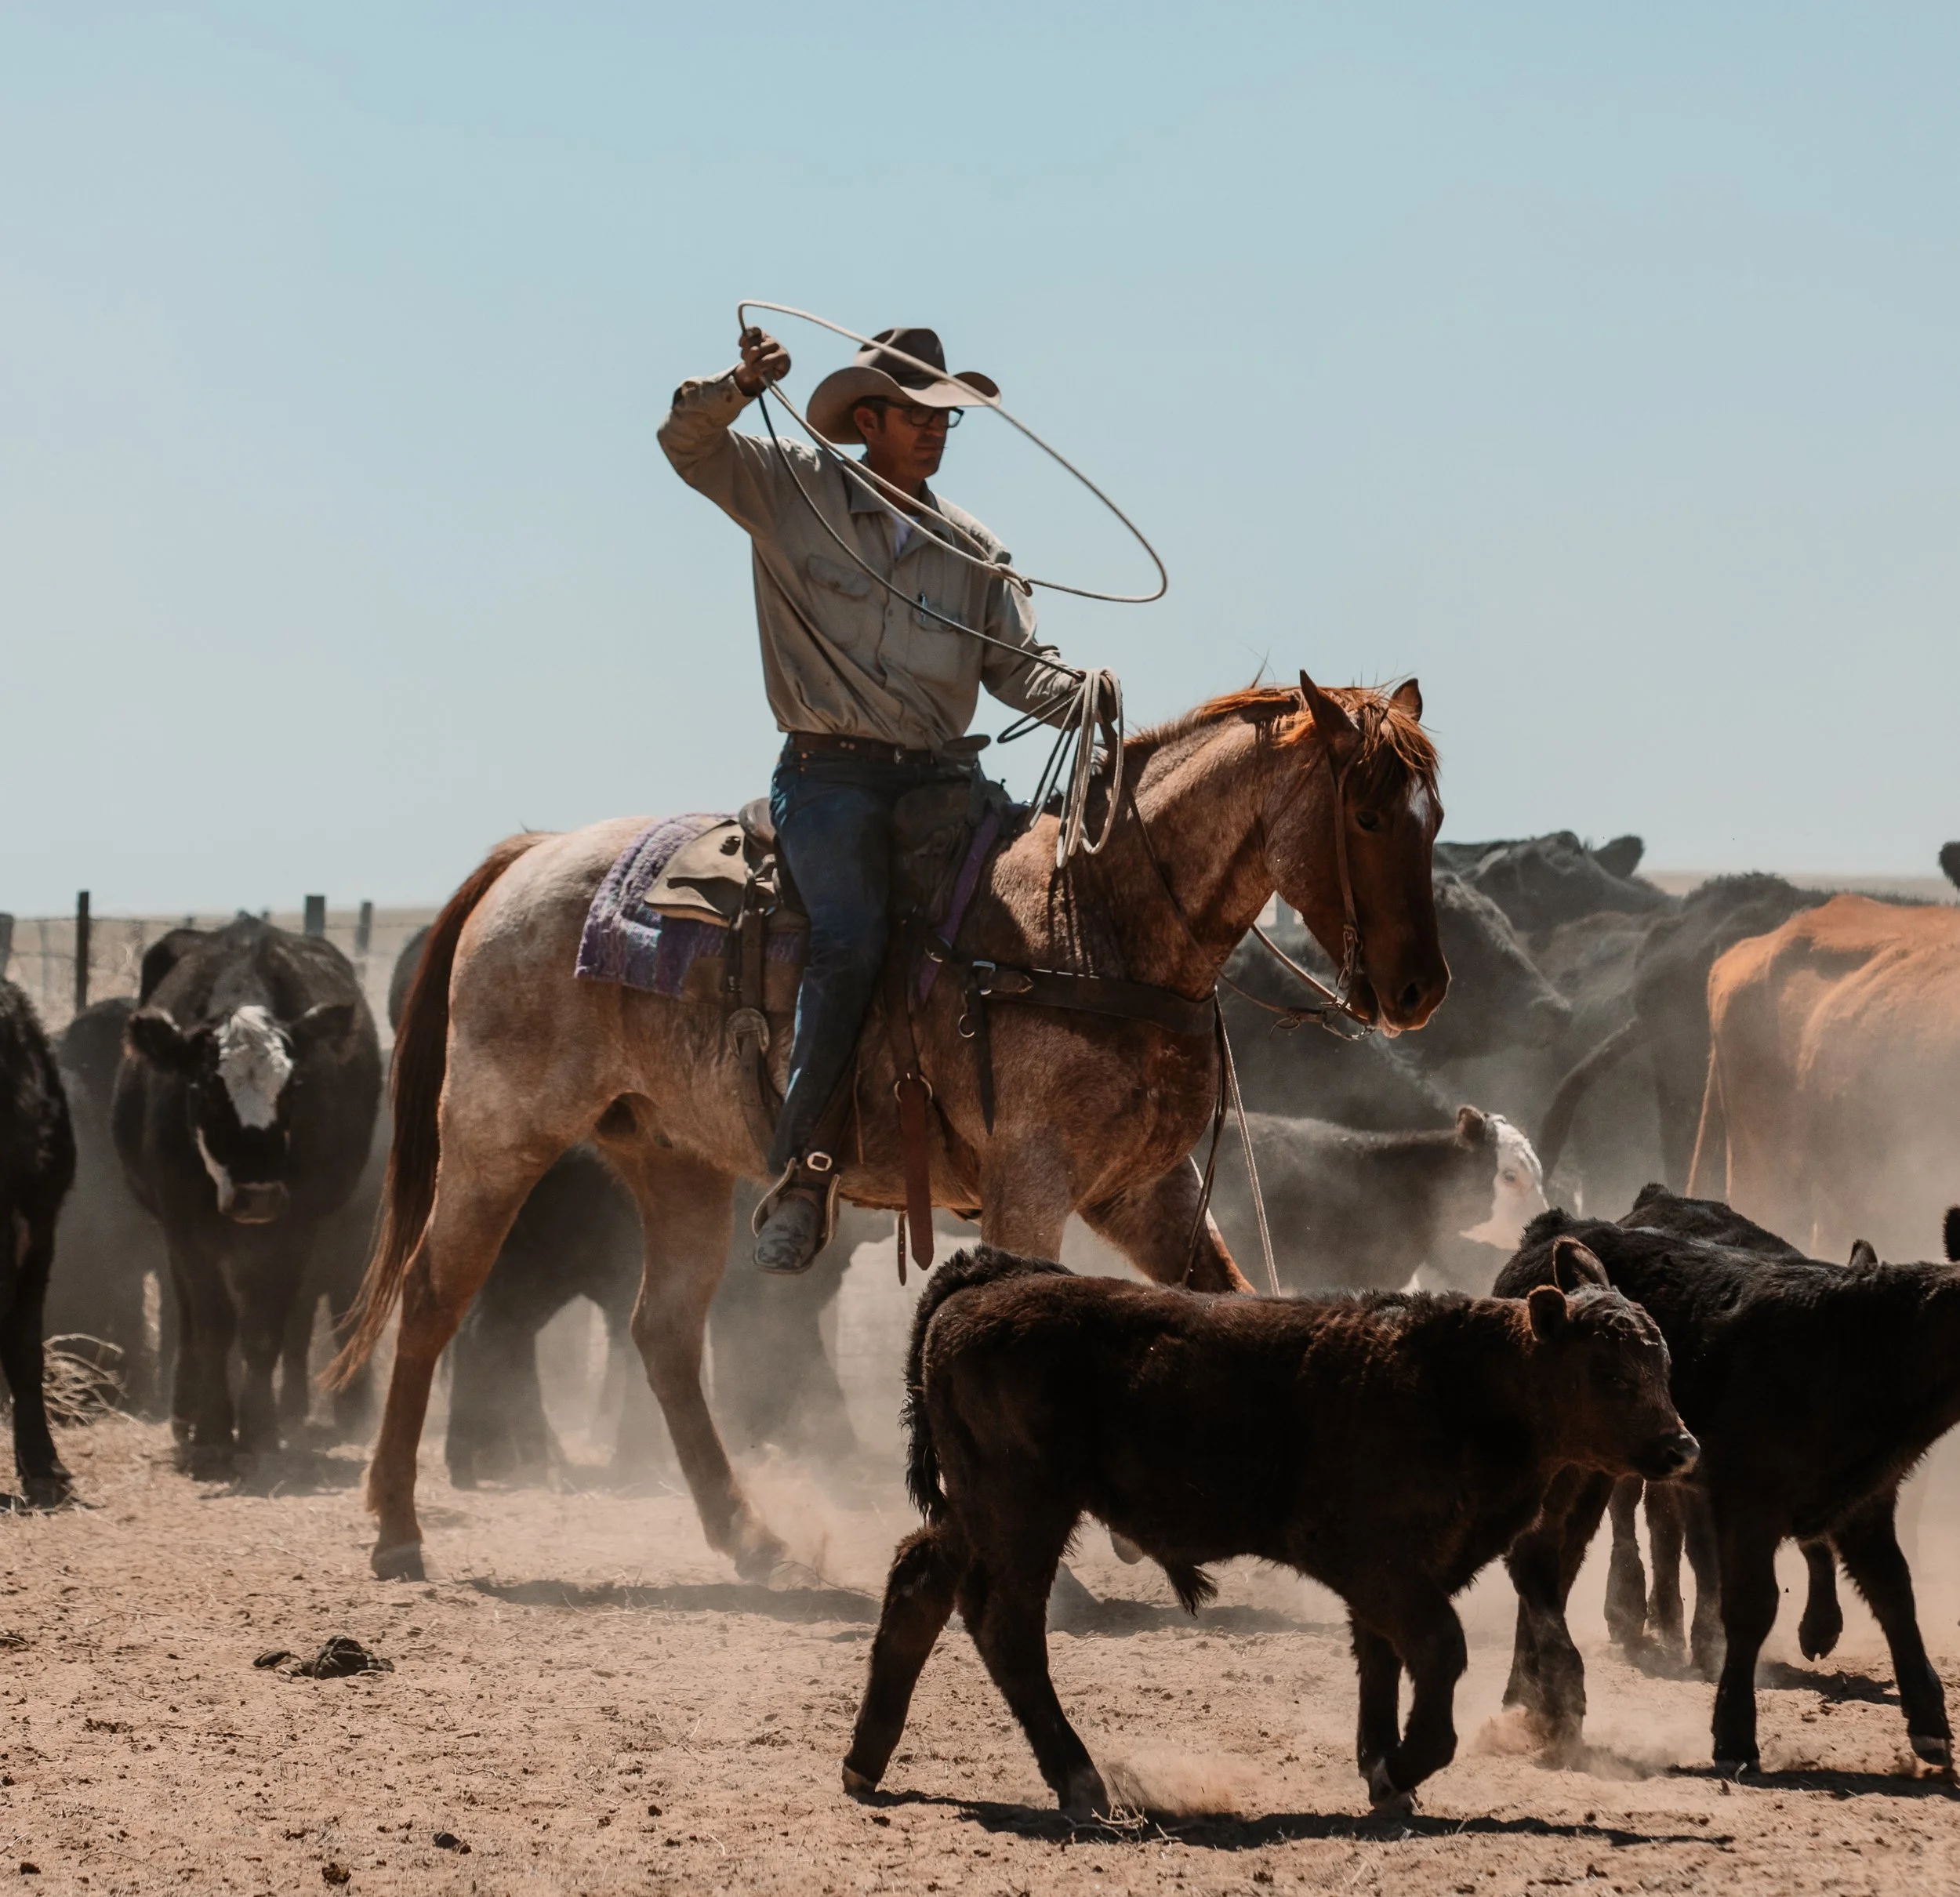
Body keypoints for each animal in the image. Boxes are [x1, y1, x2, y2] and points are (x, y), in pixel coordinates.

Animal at [330, 673, 1447, 1582]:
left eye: (1434, 815)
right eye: (1365, 812)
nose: (1418, 989)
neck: (1092, 924)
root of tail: (532, 857)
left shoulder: (1146, 1188)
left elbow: (1232, 1304)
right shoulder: (1029, 1180)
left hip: (672, 1161)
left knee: (663, 1332)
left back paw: (753, 1539)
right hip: (498, 1134)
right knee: (434, 1296)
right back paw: (395, 1526)